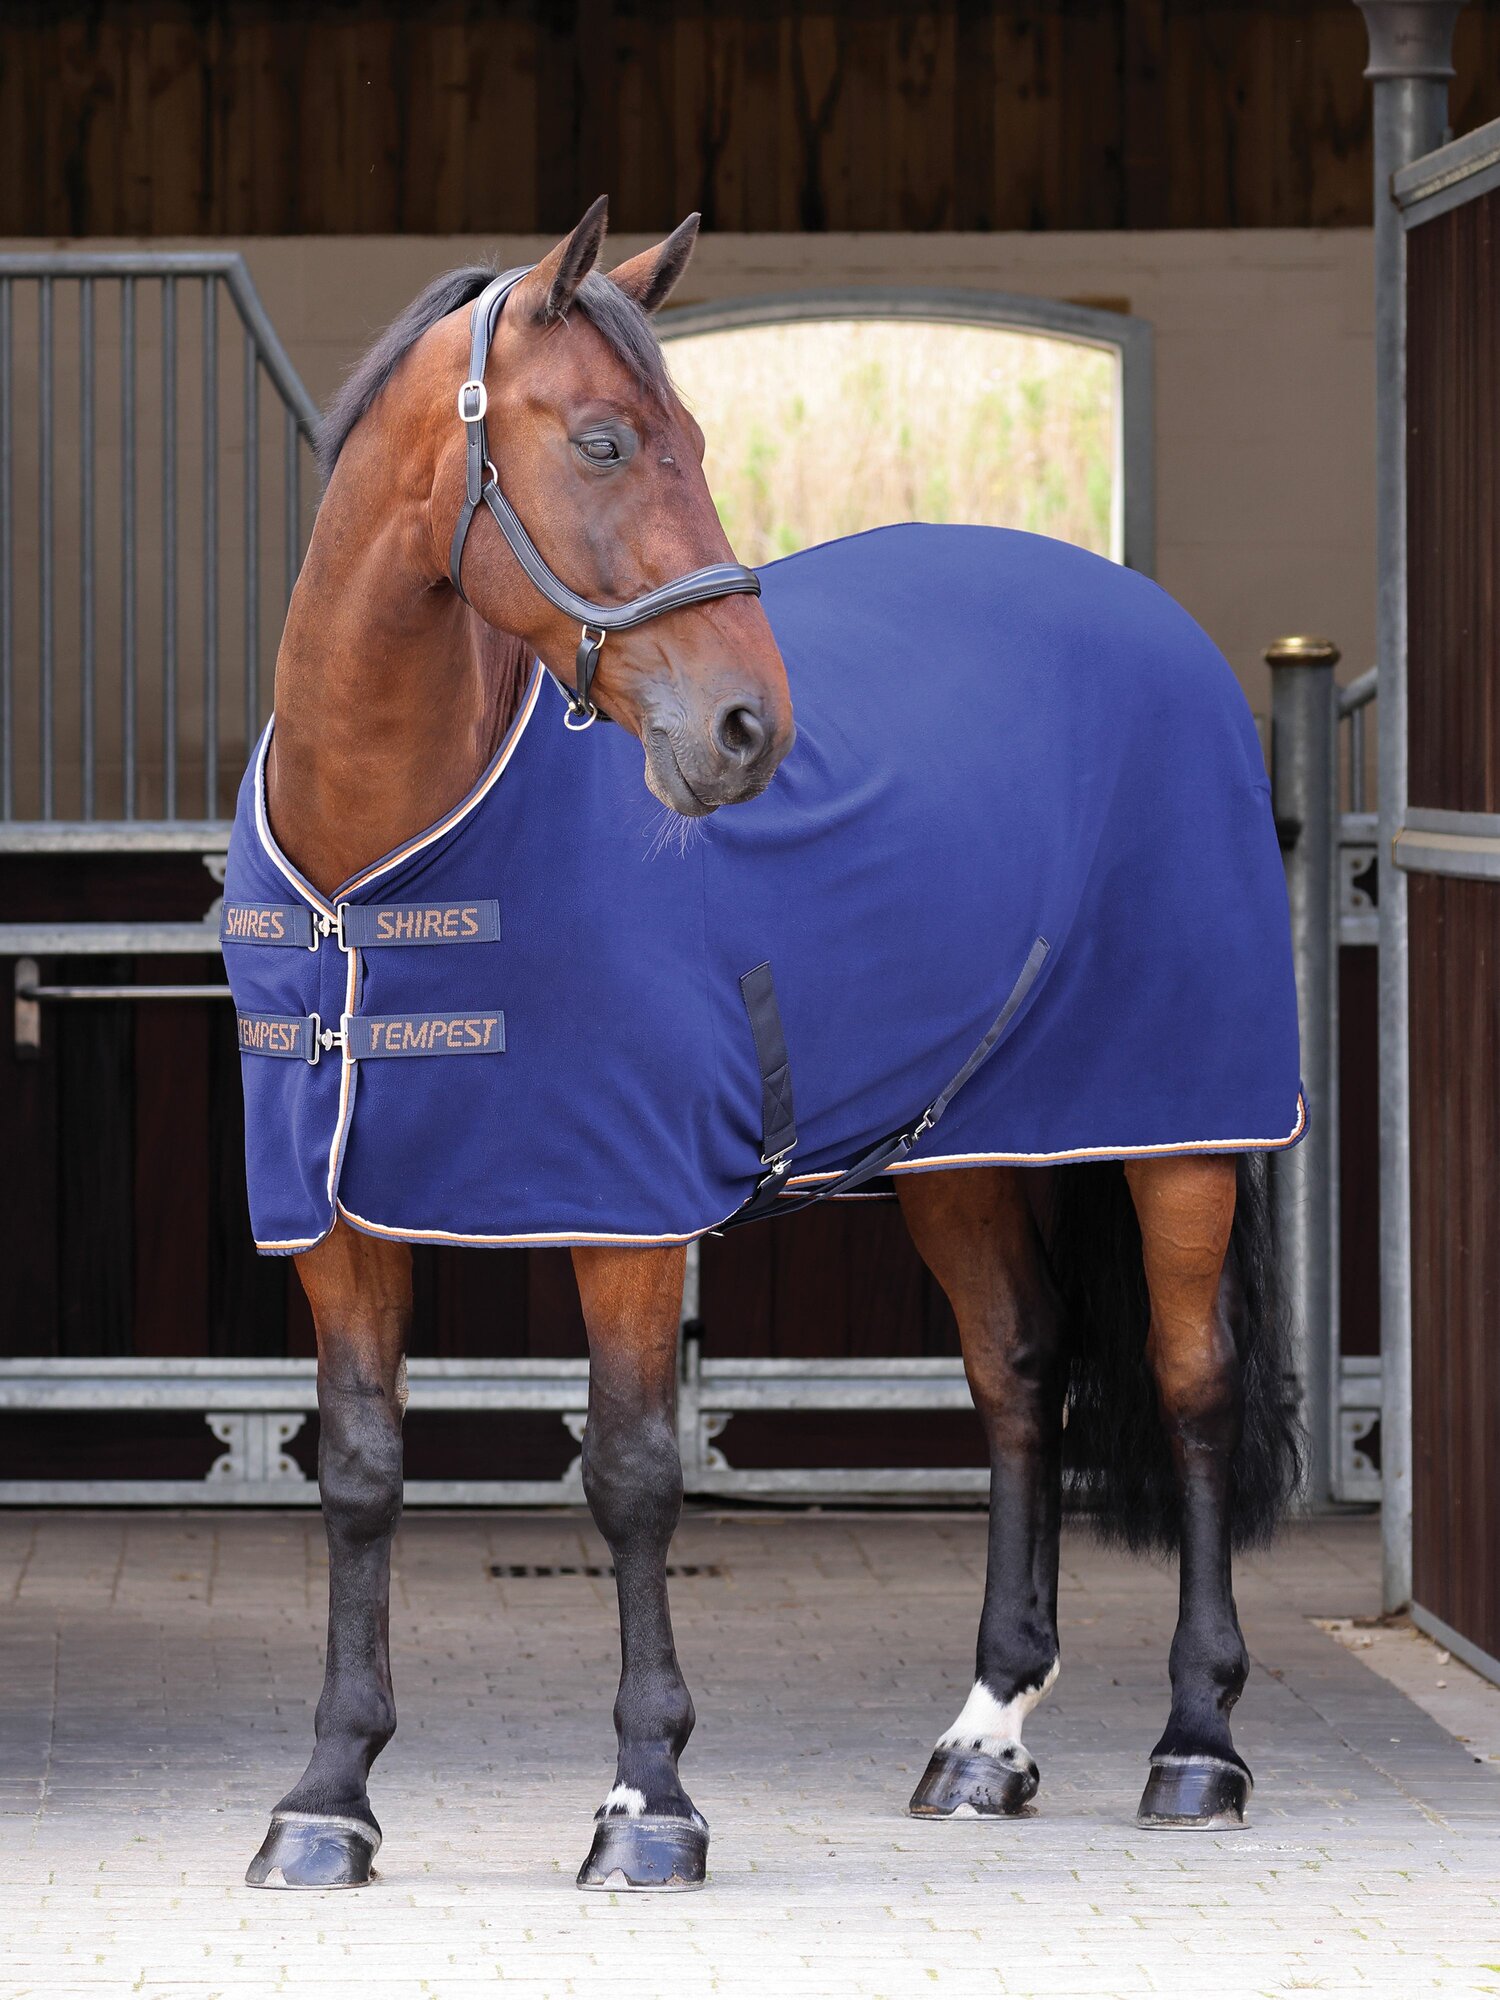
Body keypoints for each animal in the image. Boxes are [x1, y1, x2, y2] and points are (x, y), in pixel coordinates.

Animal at [229, 197, 1303, 1894]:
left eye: (696, 440)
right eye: (605, 441)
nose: (746, 729)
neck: (372, 870)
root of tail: (1160, 632)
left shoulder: (624, 1208)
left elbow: (631, 1477)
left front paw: (648, 1806)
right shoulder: (334, 1213)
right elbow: (357, 1478)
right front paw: (328, 1800)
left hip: (1181, 1130)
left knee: (1191, 1388)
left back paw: (1198, 1747)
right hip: (961, 1148)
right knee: (1018, 1374)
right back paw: (984, 1738)